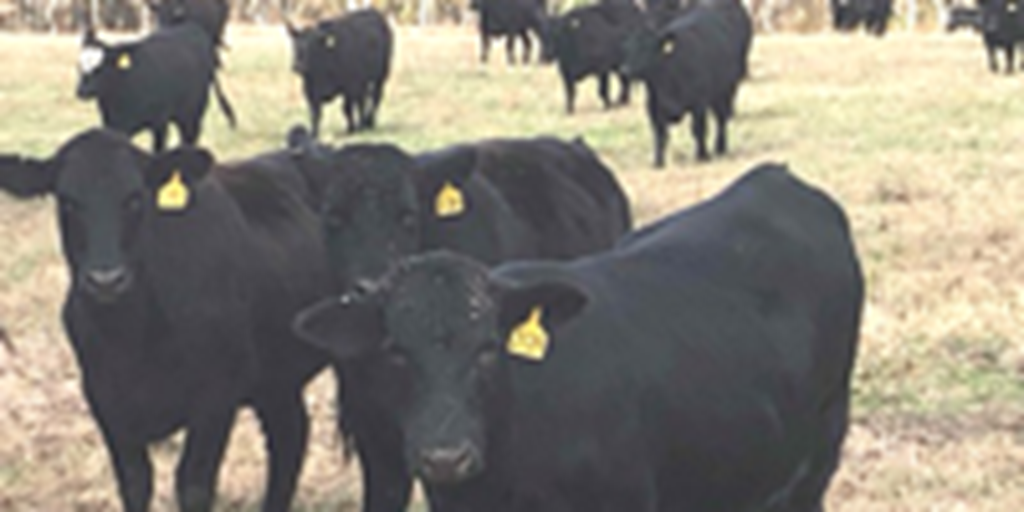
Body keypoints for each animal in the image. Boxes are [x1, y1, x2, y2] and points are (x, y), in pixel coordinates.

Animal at [0, 129, 329, 512]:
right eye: (67, 201)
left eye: (134, 199)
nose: (106, 280)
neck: (133, 335)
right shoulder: (104, 398)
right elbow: (135, 483)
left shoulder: (217, 395)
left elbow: (193, 485)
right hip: (275, 375)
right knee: (290, 435)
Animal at [77, 22, 236, 152]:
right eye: (79, 66)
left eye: (101, 68)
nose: (82, 91)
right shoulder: (115, 125)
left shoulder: (160, 123)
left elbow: (158, 150)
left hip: (193, 112)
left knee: (189, 138)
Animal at [287, 8, 393, 138]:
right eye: (294, 45)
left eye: (312, 45)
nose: (298, 66)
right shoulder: (310, 92)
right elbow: (316, 114)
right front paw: (313, 134)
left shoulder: (350, 86)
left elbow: (347, 108)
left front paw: (354, 128)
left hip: (380, 76)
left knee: (375, 98)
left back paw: (369, 122)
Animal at [622, 0, 752, 168]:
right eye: (628, 48)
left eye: (648, 47)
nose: (626, 70)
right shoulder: (653, 107)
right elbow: (660, 134)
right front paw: (658, 161)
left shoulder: (699, 103)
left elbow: (698, 129)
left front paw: (702, 155)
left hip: (726, 90)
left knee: (721, 119)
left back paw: (720, 148)